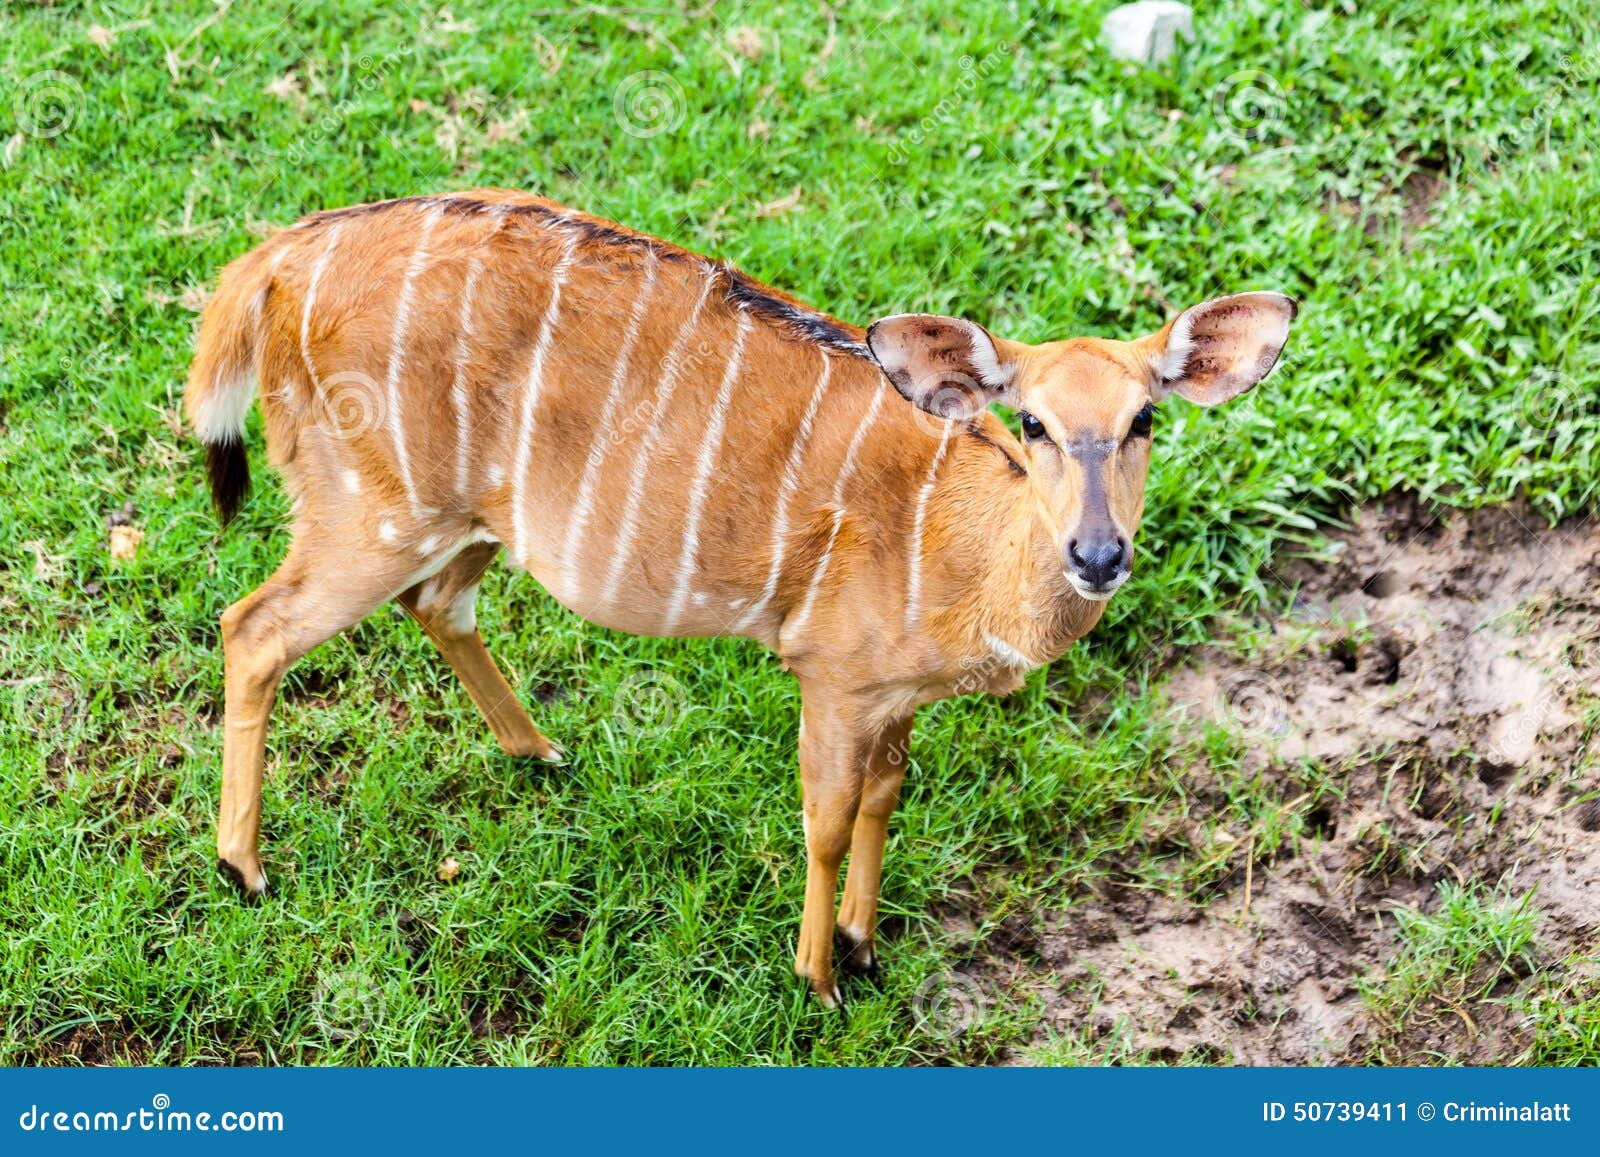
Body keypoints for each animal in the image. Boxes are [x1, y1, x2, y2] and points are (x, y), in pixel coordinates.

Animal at [186, 188, 1296, 1007]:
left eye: (1145, 415)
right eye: (1031, 422)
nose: (1099, 552)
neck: (958, 540)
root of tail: (276, 260)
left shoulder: (891, 697)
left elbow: (885, 794)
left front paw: (863, 943)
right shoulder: (834, 677)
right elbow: (825, 817)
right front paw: (818, 978)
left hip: (465, 520)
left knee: (435, 606)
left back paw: (541, 752)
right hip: (371, 511)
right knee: (253, 626)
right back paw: (243, 867)